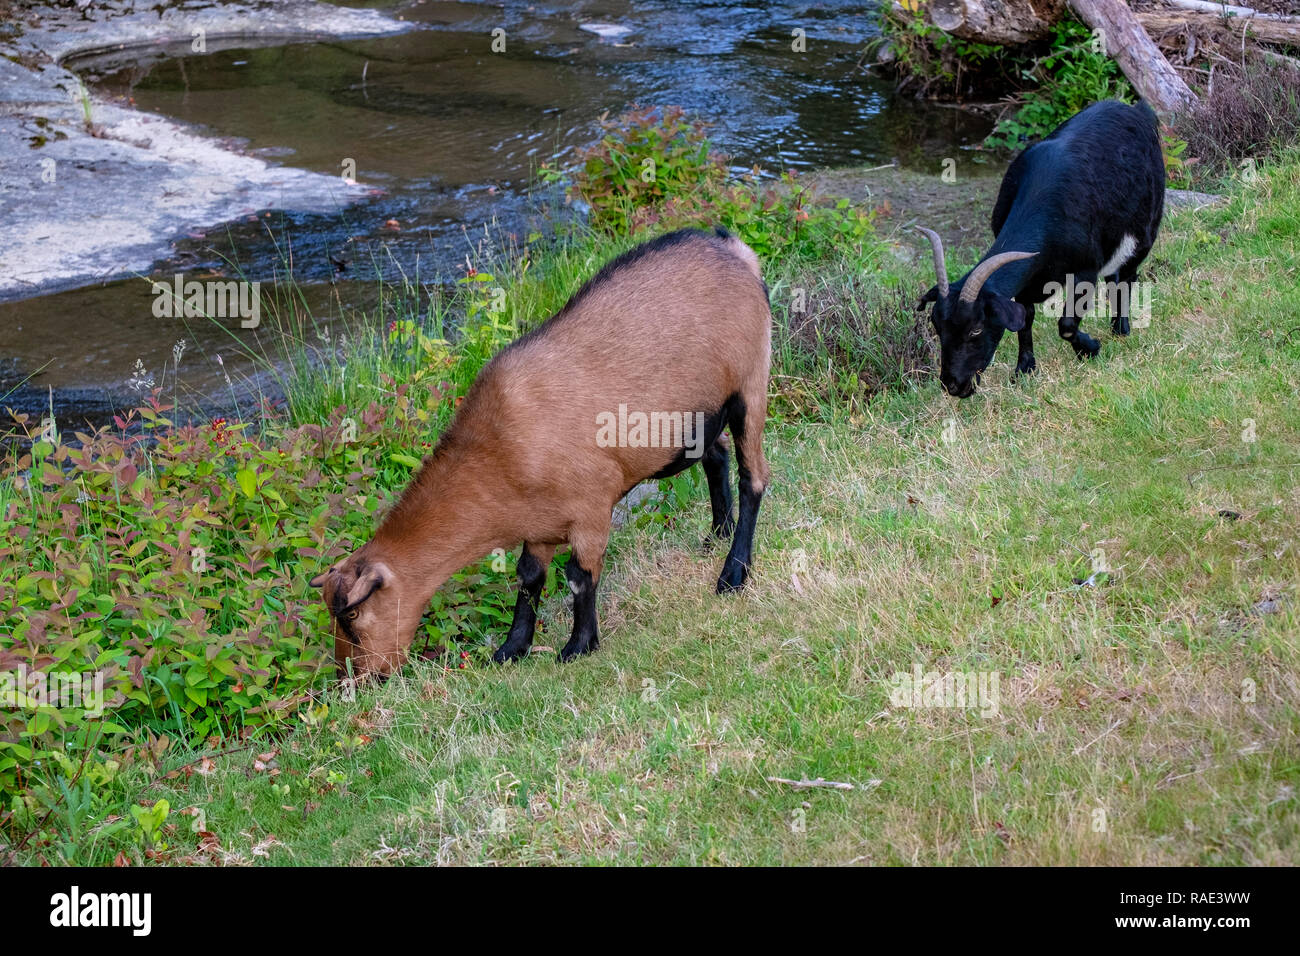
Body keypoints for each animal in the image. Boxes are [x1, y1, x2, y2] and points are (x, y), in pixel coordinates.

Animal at [310, 227, 772, 678]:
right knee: (716, 456)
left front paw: (579, 645)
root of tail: (732, 247)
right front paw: (511, 649)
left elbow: (579, 576)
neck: (499, 453)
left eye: (351, 616)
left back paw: (733, 573)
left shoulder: (592, 504)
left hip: (750, 381)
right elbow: (530, 578)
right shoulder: (539, 525)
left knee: (754, 476)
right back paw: (716, 534)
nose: (353, 677)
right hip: (697, 417)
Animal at [917, 100, 1165, 397]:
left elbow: (1066, 324)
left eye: (976, 330)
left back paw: (1121, 329)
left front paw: (1090, 349)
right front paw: (1024, 369)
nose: (953, 385)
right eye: (937, 326)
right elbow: (1026, 319)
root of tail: (1136, 109)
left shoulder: (1084, 270)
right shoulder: (1028, 279)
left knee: (1128, 274)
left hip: (1145, 225)